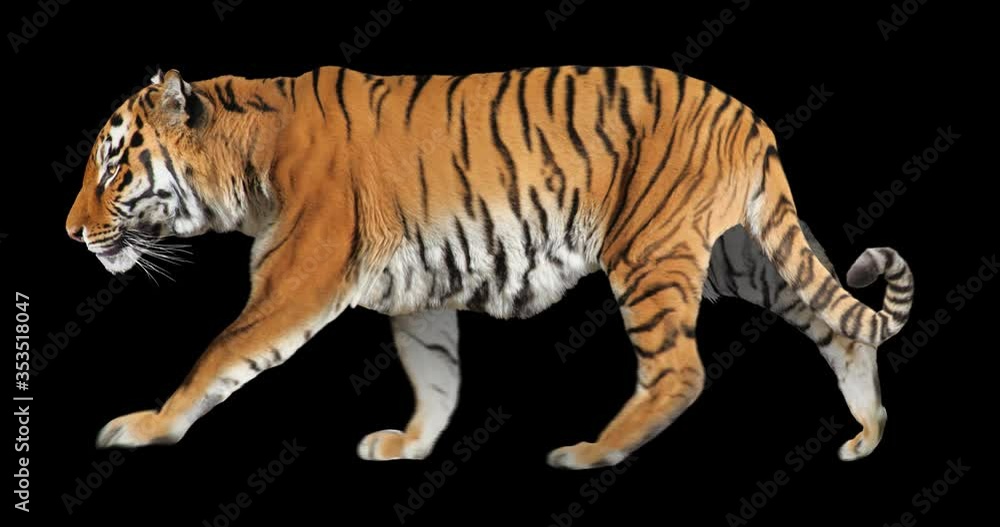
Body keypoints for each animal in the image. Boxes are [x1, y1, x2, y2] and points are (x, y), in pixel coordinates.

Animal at [65, 66, 913, 469]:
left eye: (111, 163)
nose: (70, 232)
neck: (244, 158)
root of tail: (748, 114)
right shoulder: (418, 296)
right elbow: (437, 377)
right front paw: (409, 445)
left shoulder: (296, 280)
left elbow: (217, 355)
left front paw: (147, 425)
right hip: (748, 255)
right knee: (843, 330)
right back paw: (868, 431)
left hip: (650, 252)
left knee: (679, 371)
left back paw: (593, 450)